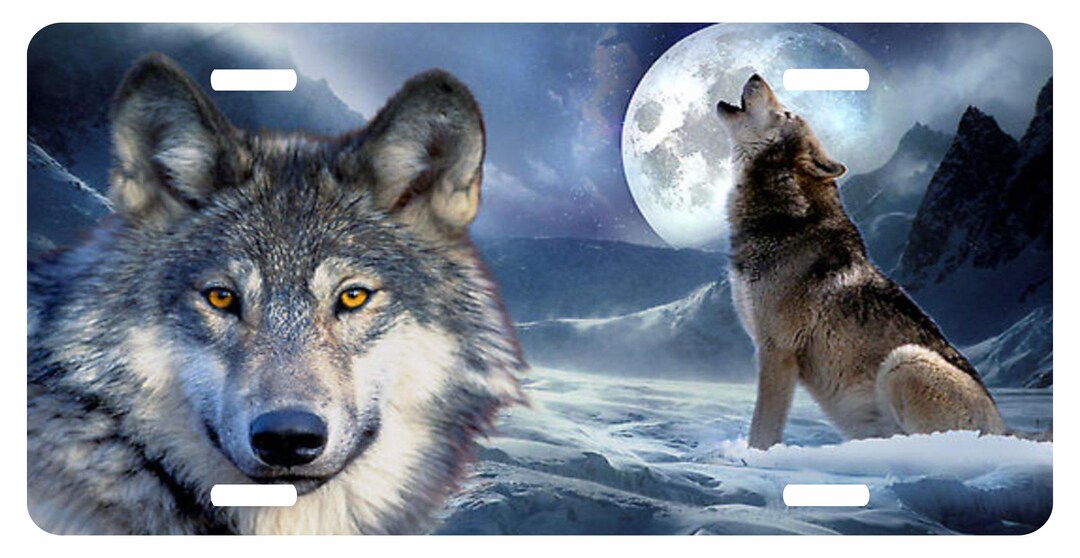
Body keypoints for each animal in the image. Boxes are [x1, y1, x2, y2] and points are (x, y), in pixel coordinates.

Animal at [716, 75, 1006, 450]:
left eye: (787, 113)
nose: (754, 75)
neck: (782, 219)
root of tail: (1006, 430)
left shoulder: (776, 351)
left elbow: (762, 432)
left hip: (904, 361)